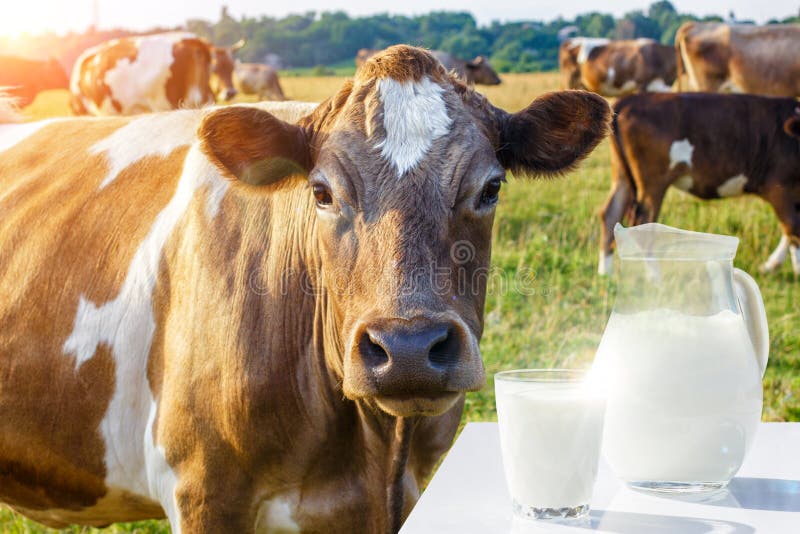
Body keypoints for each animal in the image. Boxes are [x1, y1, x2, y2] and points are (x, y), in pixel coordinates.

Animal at [598, 92, 800, 276]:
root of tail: (632, 98)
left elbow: (789, 230)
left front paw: (772, 265)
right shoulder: (779, 187)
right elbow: (792, 227)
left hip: (622, 175)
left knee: (611, 213)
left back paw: (606, 272)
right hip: (653, 180)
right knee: (642, 220)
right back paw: (655, 276)